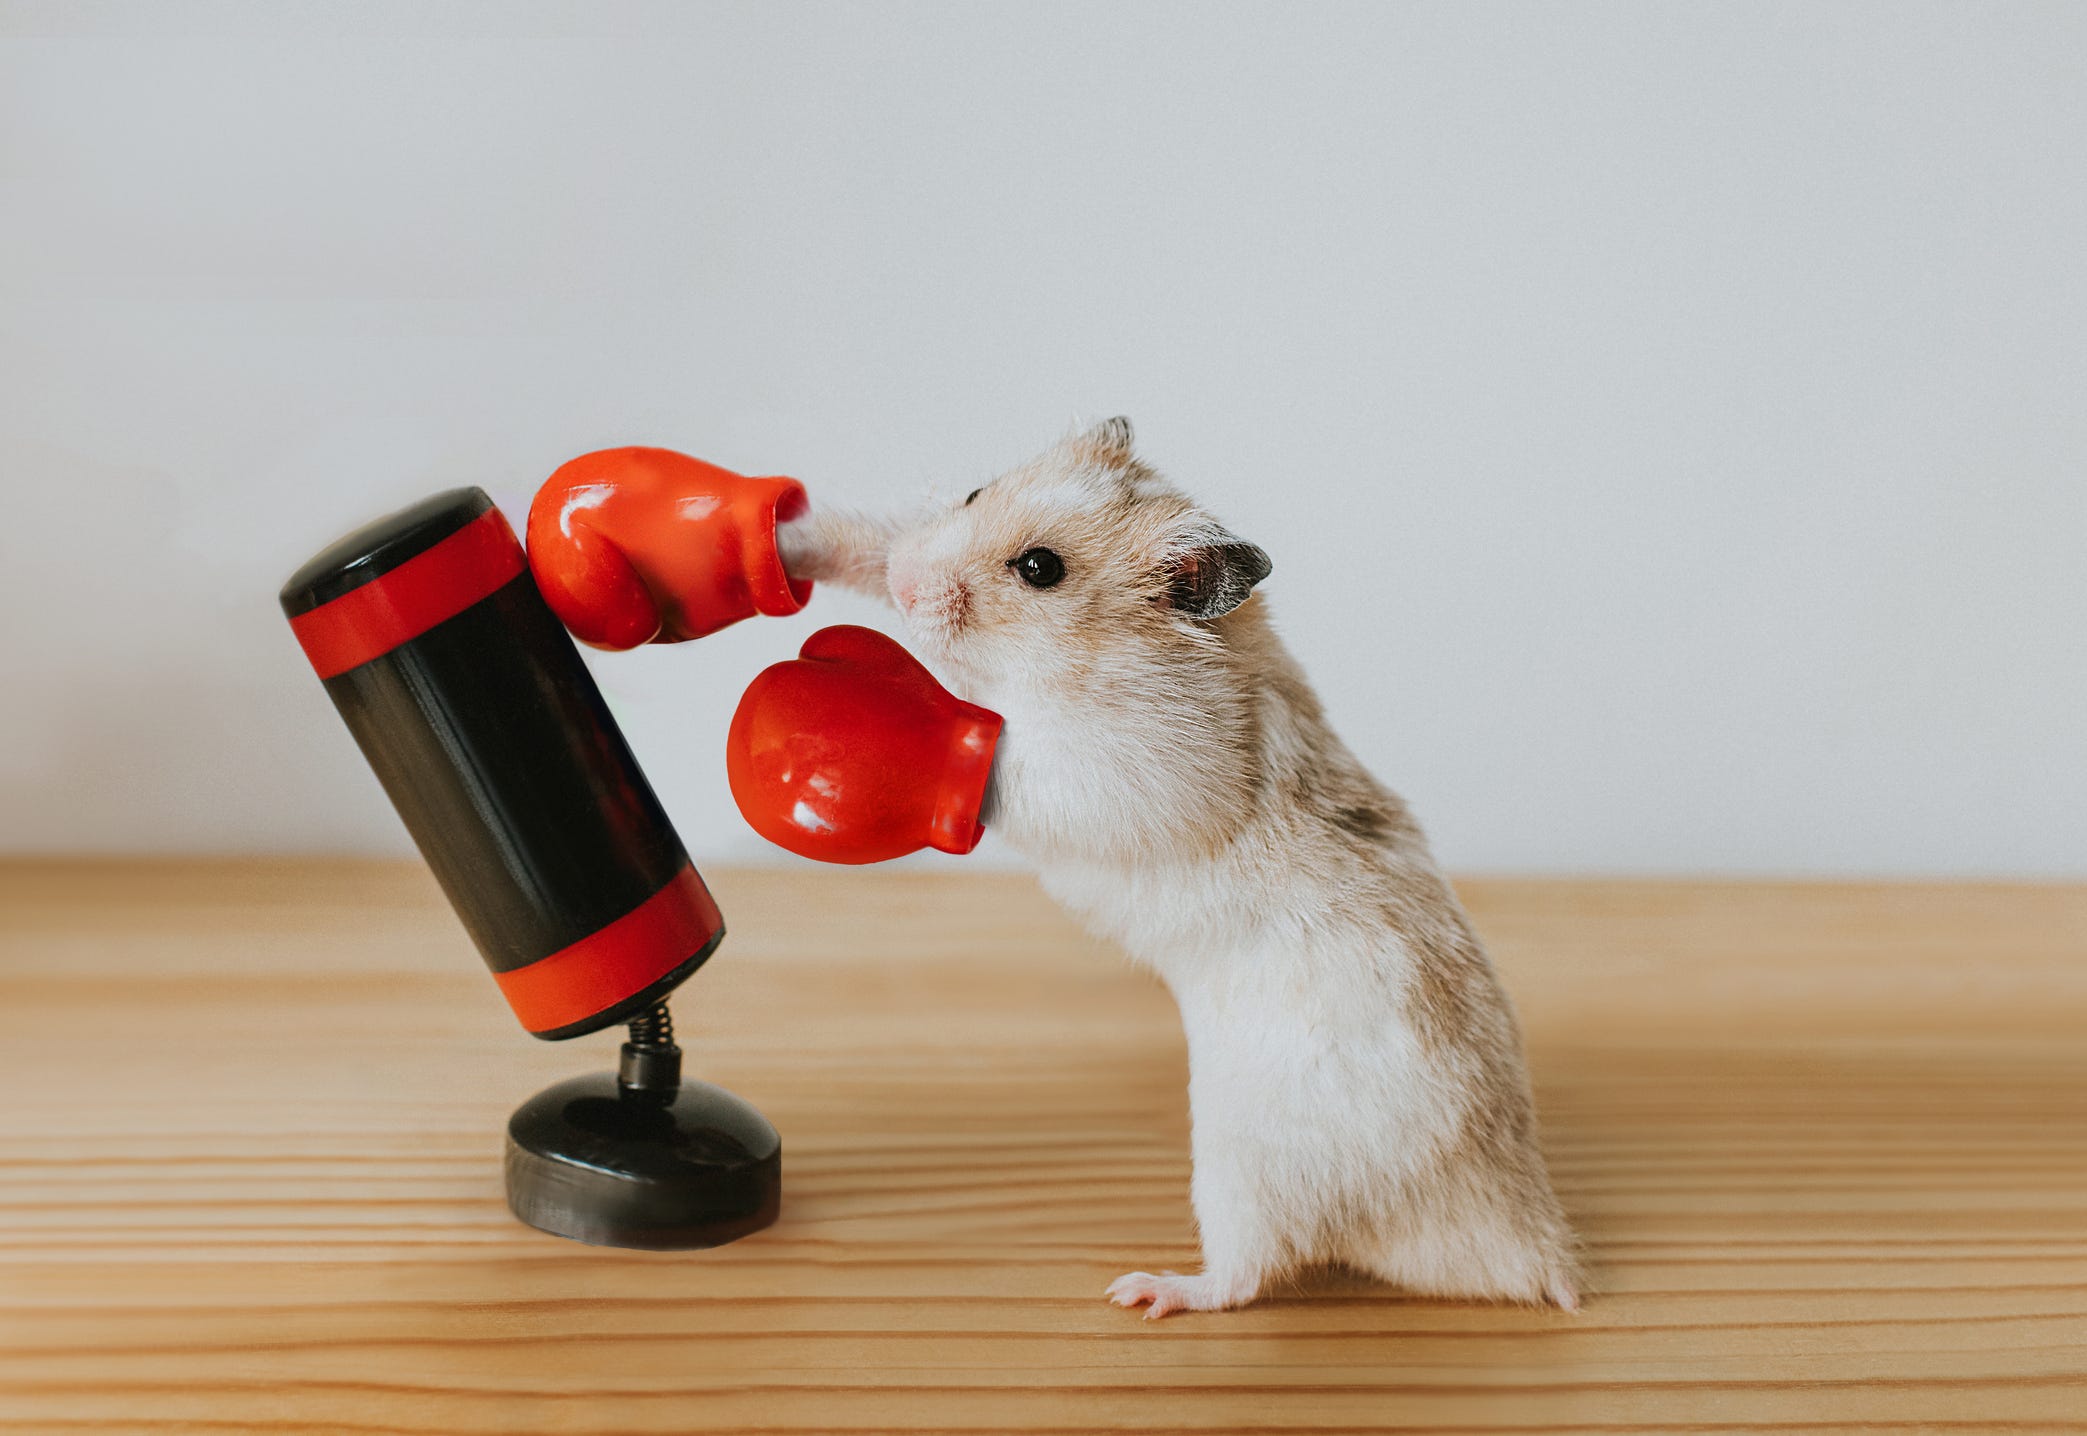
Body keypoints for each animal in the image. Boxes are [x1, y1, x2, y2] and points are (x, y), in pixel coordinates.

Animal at [776, 421, 1569, 1319]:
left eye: (1039, 569)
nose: (910, 587)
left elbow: (1007, 764)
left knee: (1250, 1272)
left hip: (1245, 1167)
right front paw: (786, 545)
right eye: (976, 492)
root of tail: (1528, 1245)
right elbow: (867, 542)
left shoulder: (1127, 766)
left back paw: (1145, 1291)